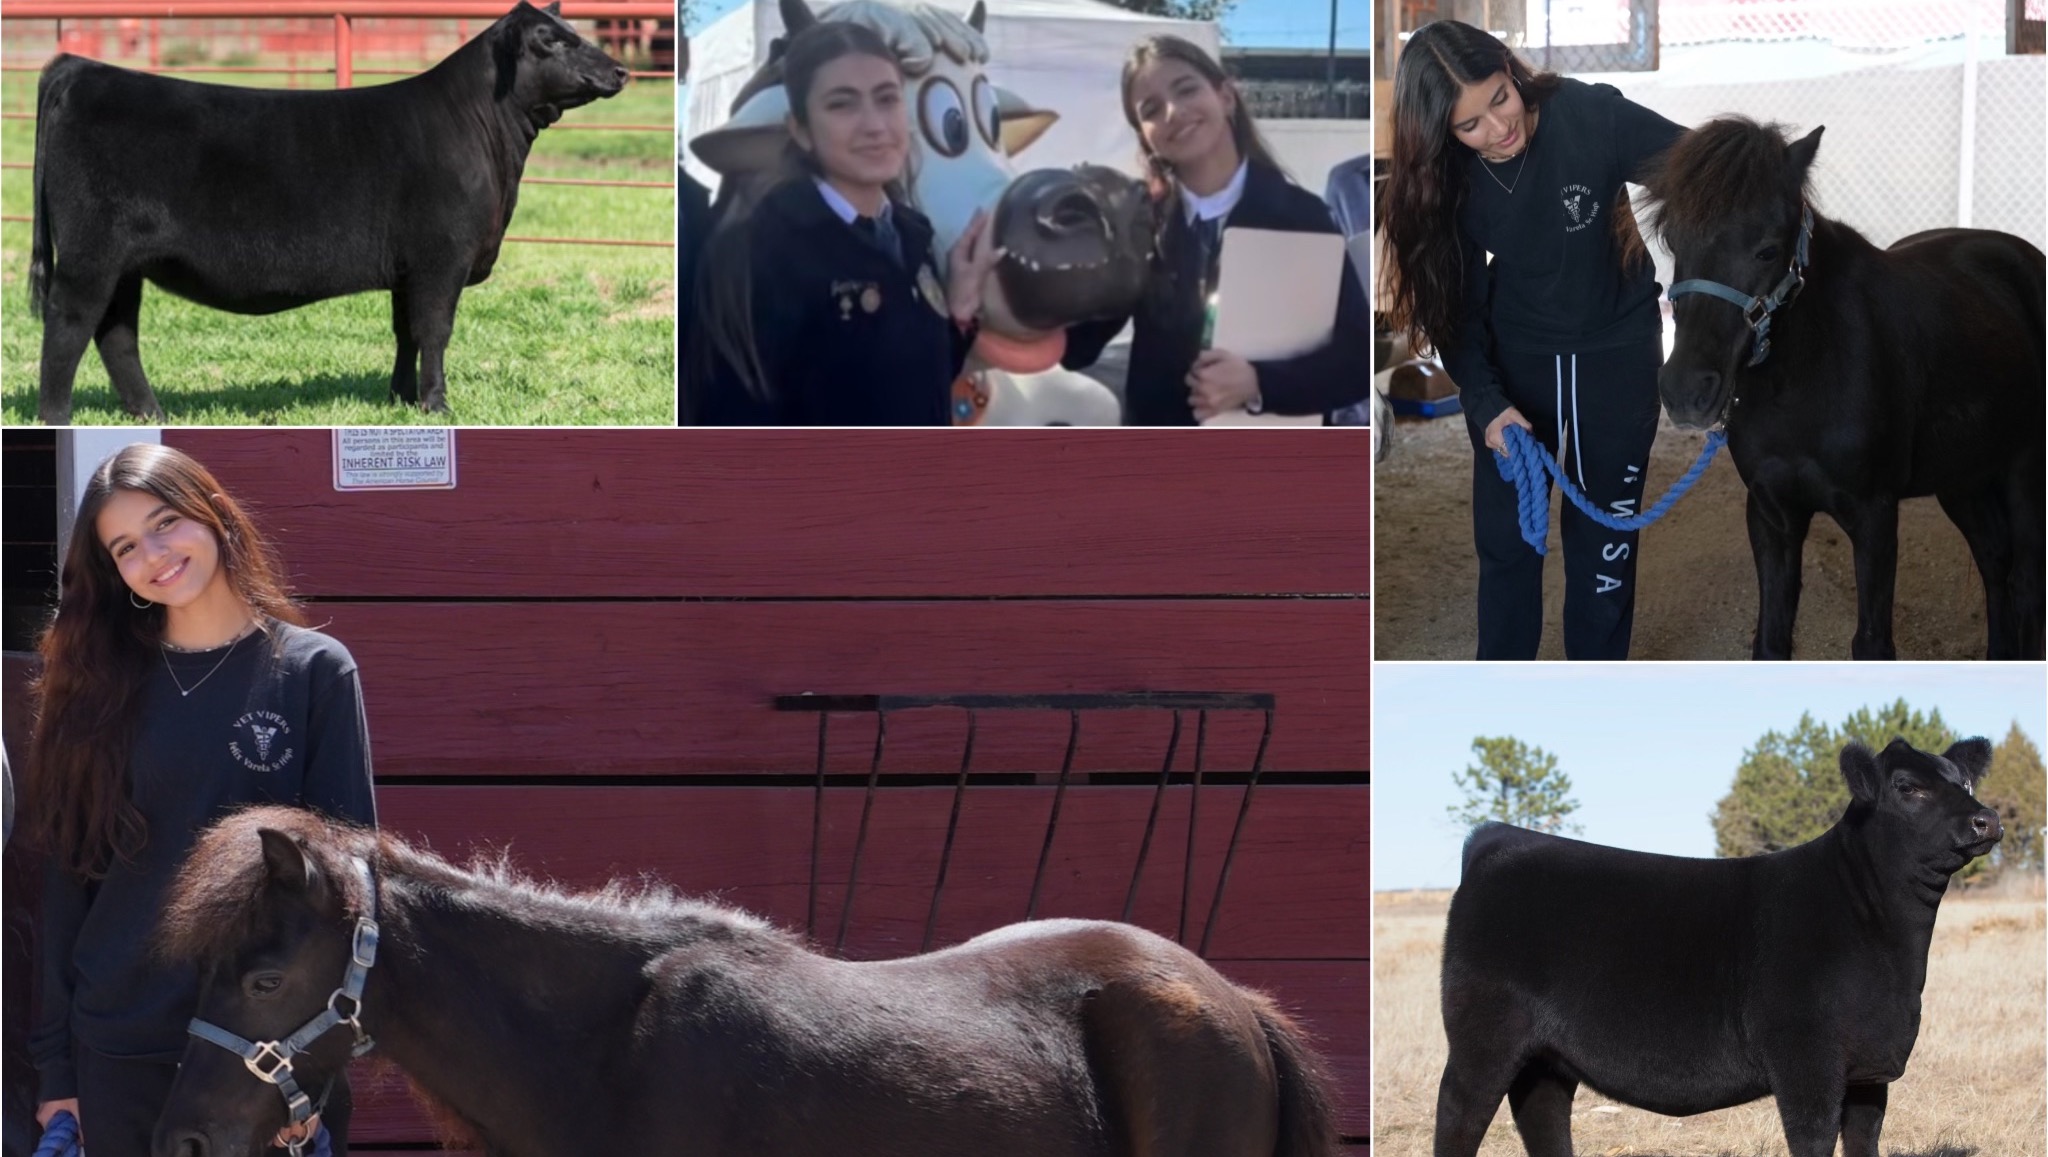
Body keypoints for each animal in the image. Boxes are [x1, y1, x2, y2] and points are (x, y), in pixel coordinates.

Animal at [28, 1, 628, 424]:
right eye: (552, 41)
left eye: (578, 32)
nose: (621, 70)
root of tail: (80, 70)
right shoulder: (441, 259)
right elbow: (434, 330)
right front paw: (436, 404)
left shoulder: (408, 268)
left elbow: (405, 331)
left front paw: (399, 398)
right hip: (90, 258)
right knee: (69, 328)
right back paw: (57, 417)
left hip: (125, 265)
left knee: (116, 335)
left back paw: (152, 412)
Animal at [1436, 736, 2003, 1157]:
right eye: (1908, 787)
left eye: (1964, 782)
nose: (1987, 819)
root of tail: (1499, 841)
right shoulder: (1806, 1063)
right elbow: (1814, 1141)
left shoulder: (1871, 1067)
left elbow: (1864, 1143)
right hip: (1482, 1040)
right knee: (1456, 1117)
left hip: (1547, 1058)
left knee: (1543, 1119)